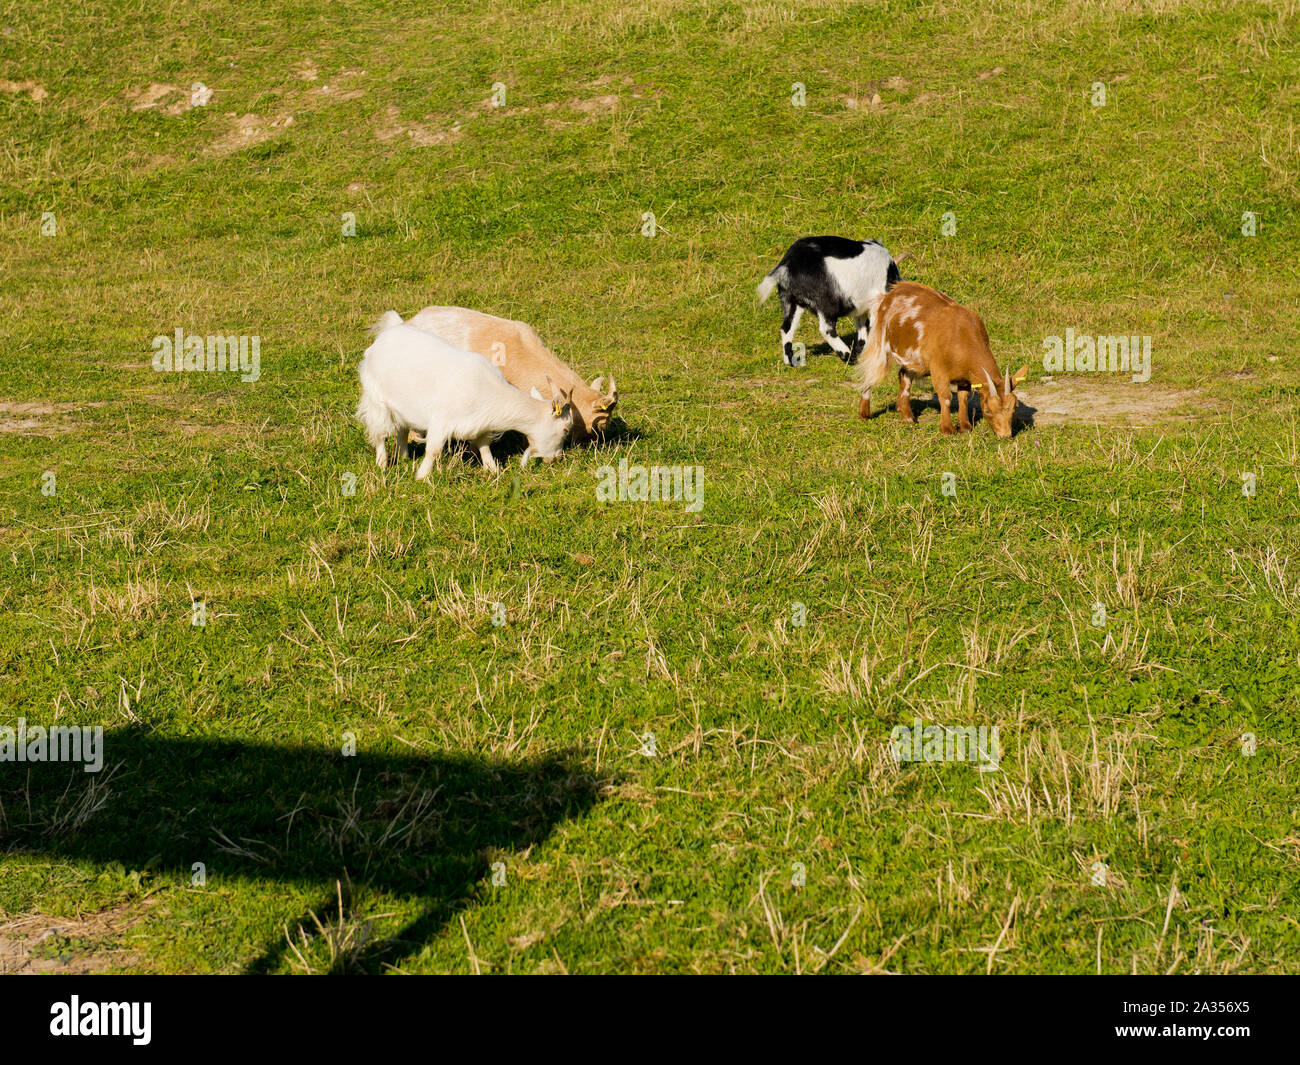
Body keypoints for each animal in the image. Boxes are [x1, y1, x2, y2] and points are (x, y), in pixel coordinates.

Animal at [356, 312, 573, 476]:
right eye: (565, 429)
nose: (557, 458)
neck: (487, 389)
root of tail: (385, 335)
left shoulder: (481, 424)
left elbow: (485, 446)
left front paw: (492, 470)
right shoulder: (442, 420)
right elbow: (433, 450)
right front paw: (422, 477)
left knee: (401, 429)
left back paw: (404, 456)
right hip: (375, 398)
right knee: (379, 432)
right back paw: (382, 463)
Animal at [757, 236, 901, 366]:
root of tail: (787, 265)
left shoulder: (861, 308)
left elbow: (863, 327)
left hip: (791, 301)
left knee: (786, 328)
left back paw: (790, 361)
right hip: (826, 301)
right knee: (826, 329)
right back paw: (848, 357)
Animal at [852, 282, 1027, 438]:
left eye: (1014, 408)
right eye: (987, 410)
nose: (1005, 436)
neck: (962, 336)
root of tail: (890, 293)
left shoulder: (964, 377)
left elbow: (963, 398)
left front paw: (965, 426)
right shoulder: (938, 369)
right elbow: (946, 397)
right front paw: (948, 429)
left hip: (914, 359)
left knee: (904, 375)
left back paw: (908, 417)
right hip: (879, 341)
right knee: (871, 372)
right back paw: (864, 413)